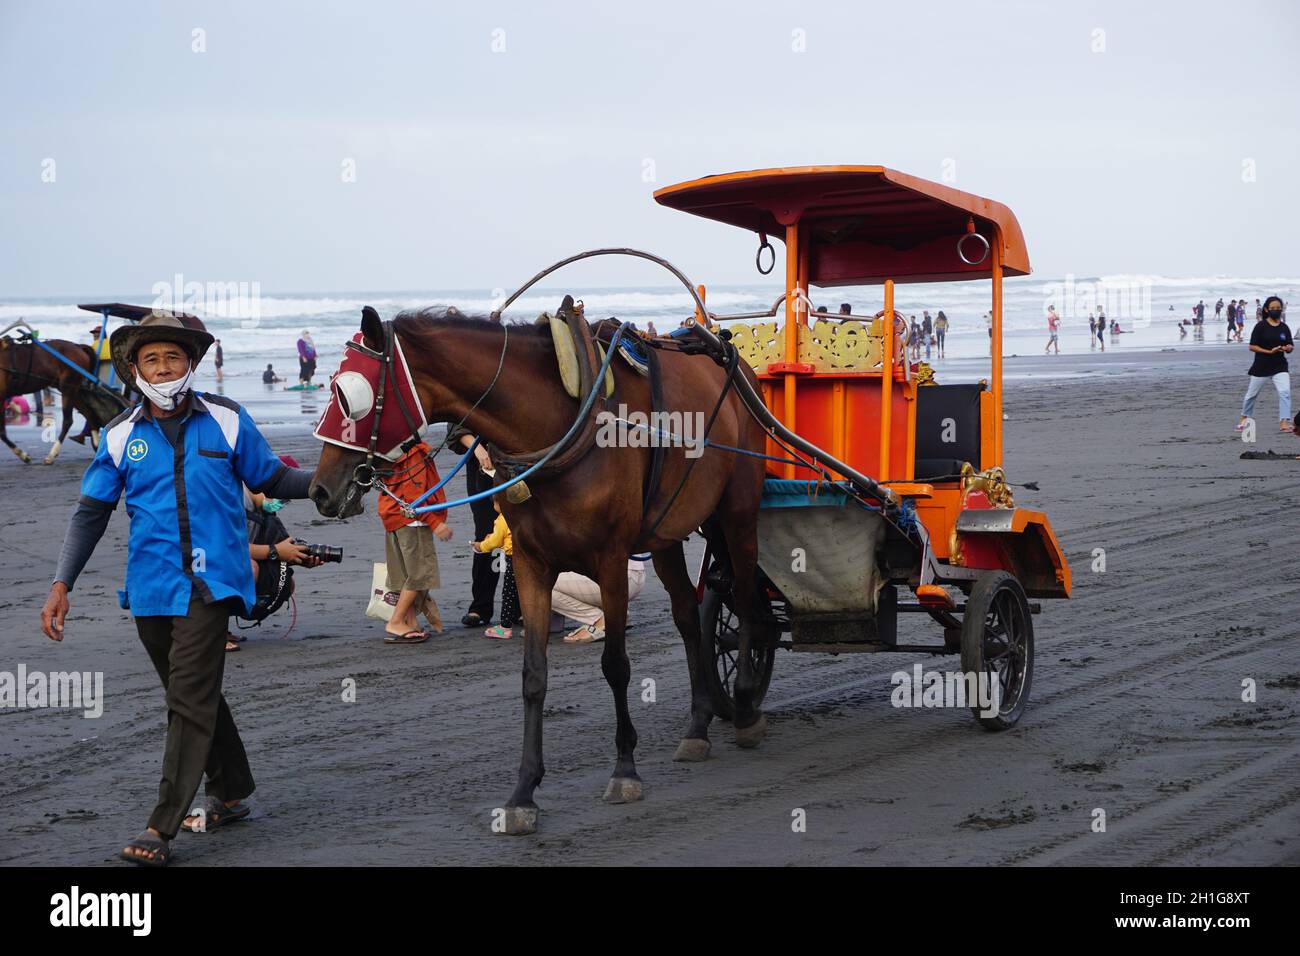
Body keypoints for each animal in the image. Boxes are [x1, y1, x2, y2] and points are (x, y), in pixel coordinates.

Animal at [0, 336, 110, 464]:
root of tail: (77, 346)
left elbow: (1, 432)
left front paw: (23, 455)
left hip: (68, 388)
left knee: (68, 421)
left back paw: (52, 454)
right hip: (72, 390)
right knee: (89, 413)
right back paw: (97, 445)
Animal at [308, 302, 769, 834]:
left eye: (348, 395)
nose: (319, 489)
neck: (562, 421)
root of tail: (734, 361)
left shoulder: (611, 561)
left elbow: (616, 665)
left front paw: (624, 768)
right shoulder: (531, 564)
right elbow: (533, 675)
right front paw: (524, 791)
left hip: (738, 513)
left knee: (748, 603)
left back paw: (746, 703)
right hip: (668, 533)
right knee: (689, 619)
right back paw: (698, 725)